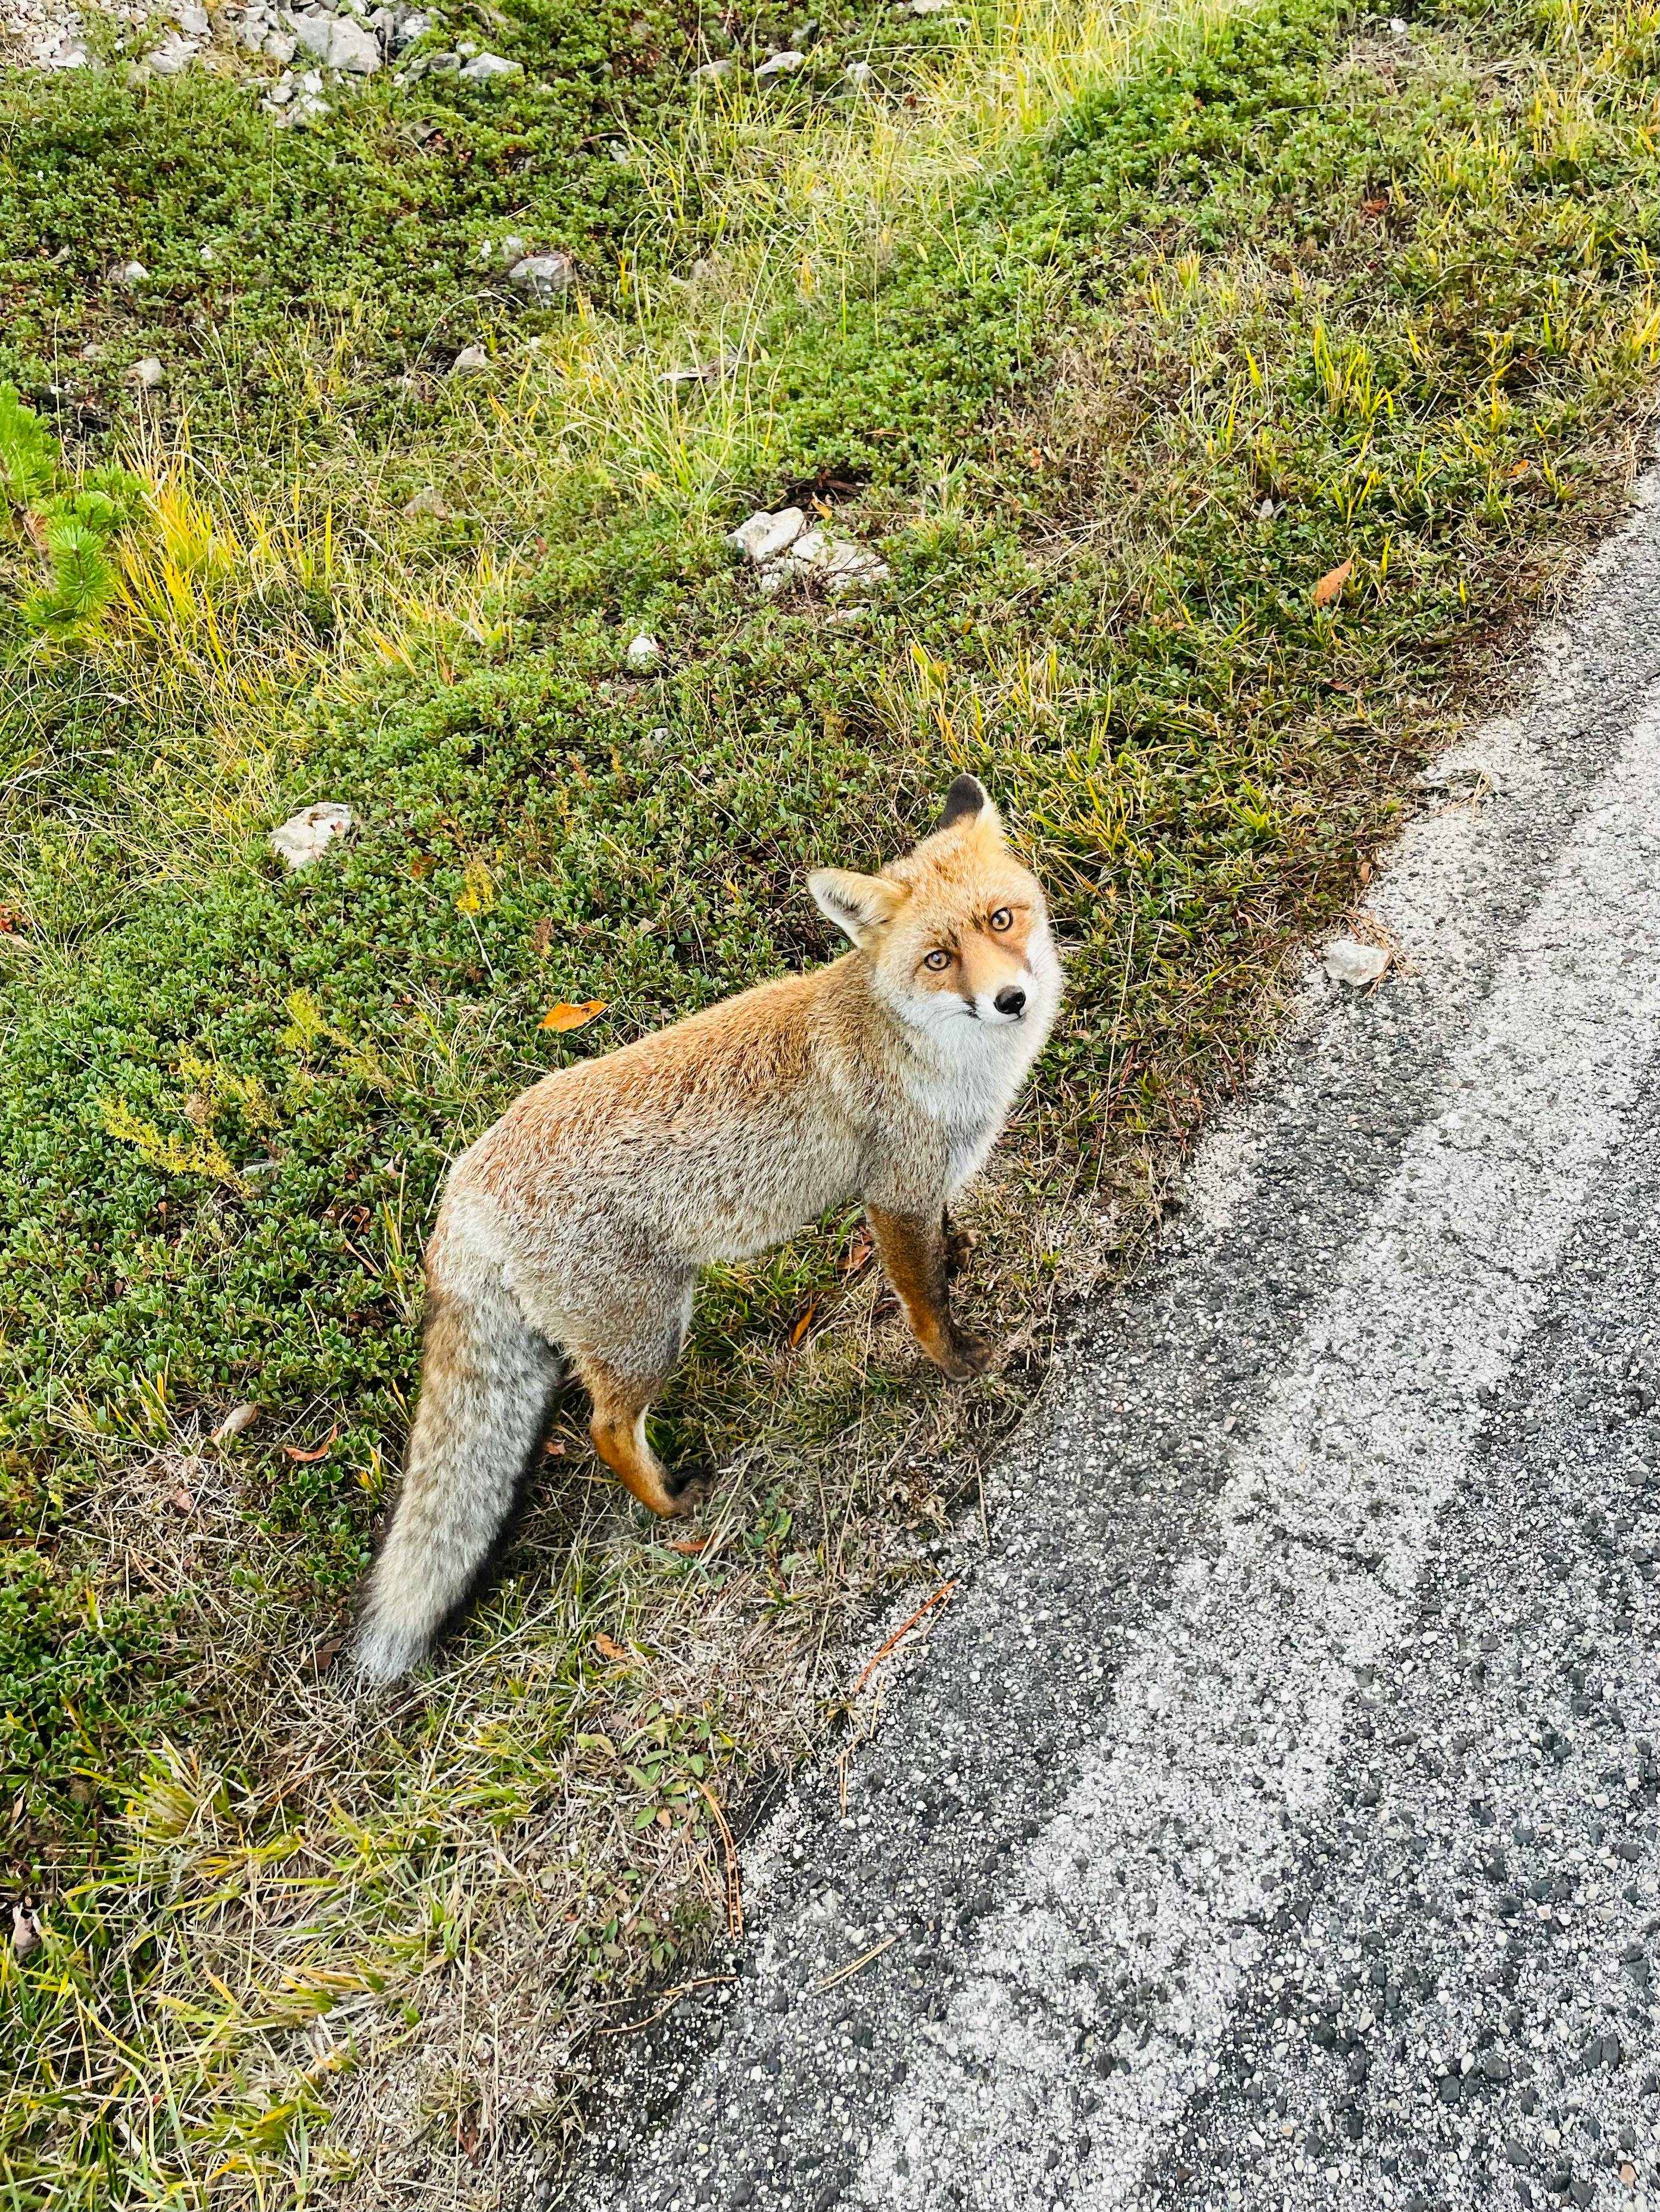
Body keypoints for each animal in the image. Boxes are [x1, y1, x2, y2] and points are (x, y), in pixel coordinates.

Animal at [350, 773, 1062, 1683]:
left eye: (1001, 919)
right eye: (938, 959)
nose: (1010, 999)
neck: (936, 1056)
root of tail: (461, 1184)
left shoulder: (921, 1191)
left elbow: (943, 1251)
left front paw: (963, 1257)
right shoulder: (893, 1193)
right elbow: (925, 1306)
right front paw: (961, 1363)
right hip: (649, 1333)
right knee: (605, 1429)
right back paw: (671, 1502)